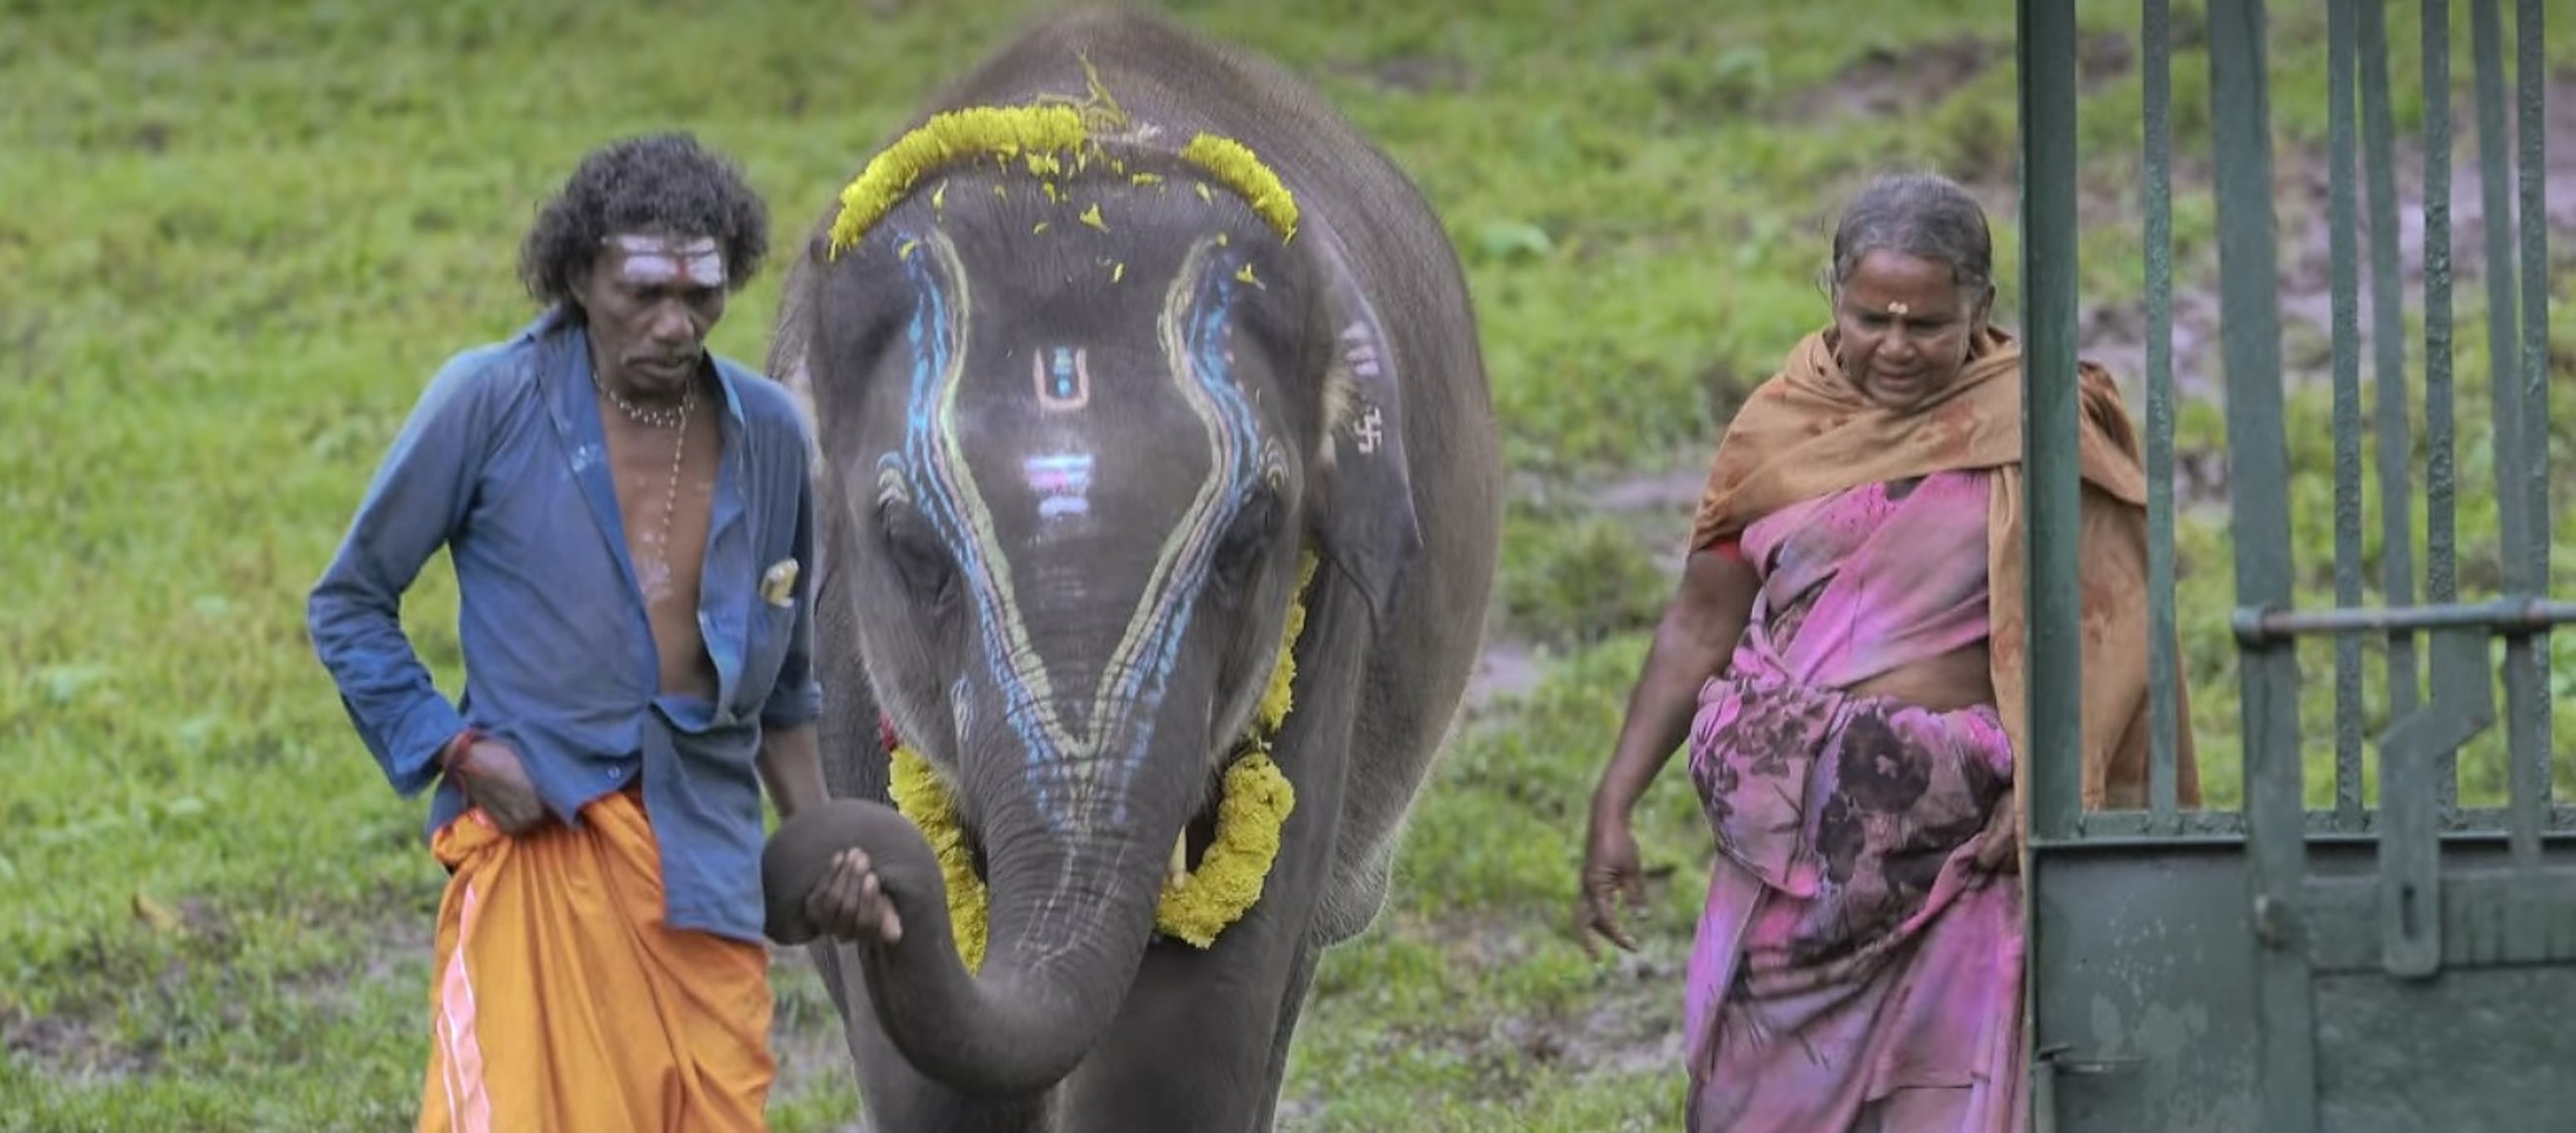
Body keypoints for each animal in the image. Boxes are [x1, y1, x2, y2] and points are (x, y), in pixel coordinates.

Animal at [758, 6, 1502, 1129]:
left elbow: (1193, 1034)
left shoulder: (1325, 618)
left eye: (1249, 535)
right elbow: (932, 1085)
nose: (848, 874)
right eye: (913, 546)